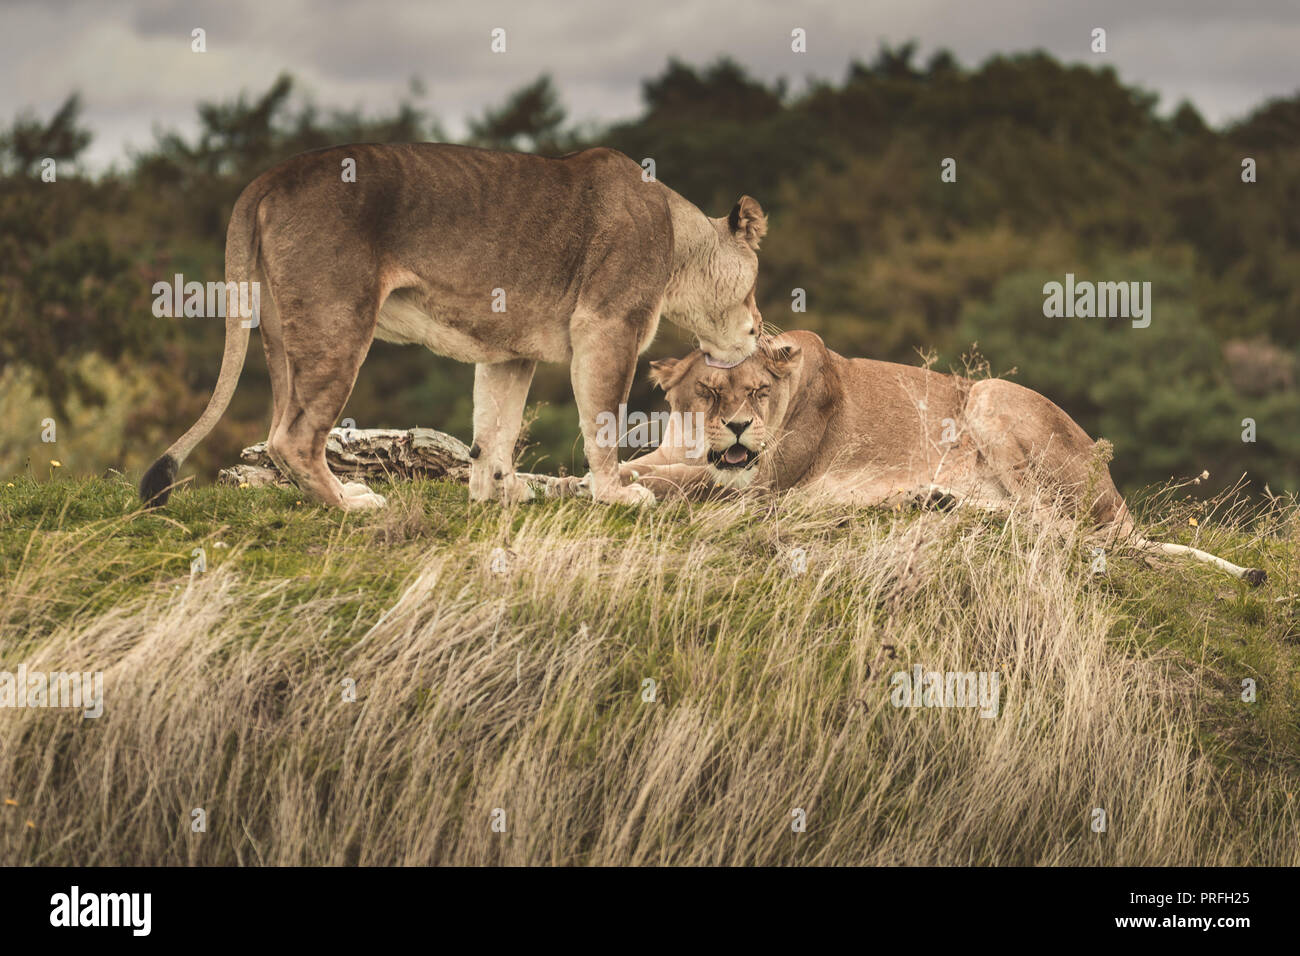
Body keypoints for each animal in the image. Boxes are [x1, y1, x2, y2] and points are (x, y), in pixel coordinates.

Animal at [139, 144, 767, 511]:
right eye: (754, 289)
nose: (760, 329)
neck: (680, 241)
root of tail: (269, 175)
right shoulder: (607, 326)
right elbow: (603, 422)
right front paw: (616, 494)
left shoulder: (509, 349)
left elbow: (495, 427)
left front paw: (498, 490)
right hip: (337, 324)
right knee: (292, 438)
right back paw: (349, 503)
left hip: (278, 334)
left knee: (279, 426)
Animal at [575, 330, 1265, 584]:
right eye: (710, 393)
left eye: (760, 390)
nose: (742, 427)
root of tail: (1119, 502)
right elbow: (638, 467)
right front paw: (581, 480)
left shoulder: (763, 486)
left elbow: (681, 483)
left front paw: (592, 488)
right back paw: (931, 499)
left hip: (989, 396)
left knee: (1054, 528)